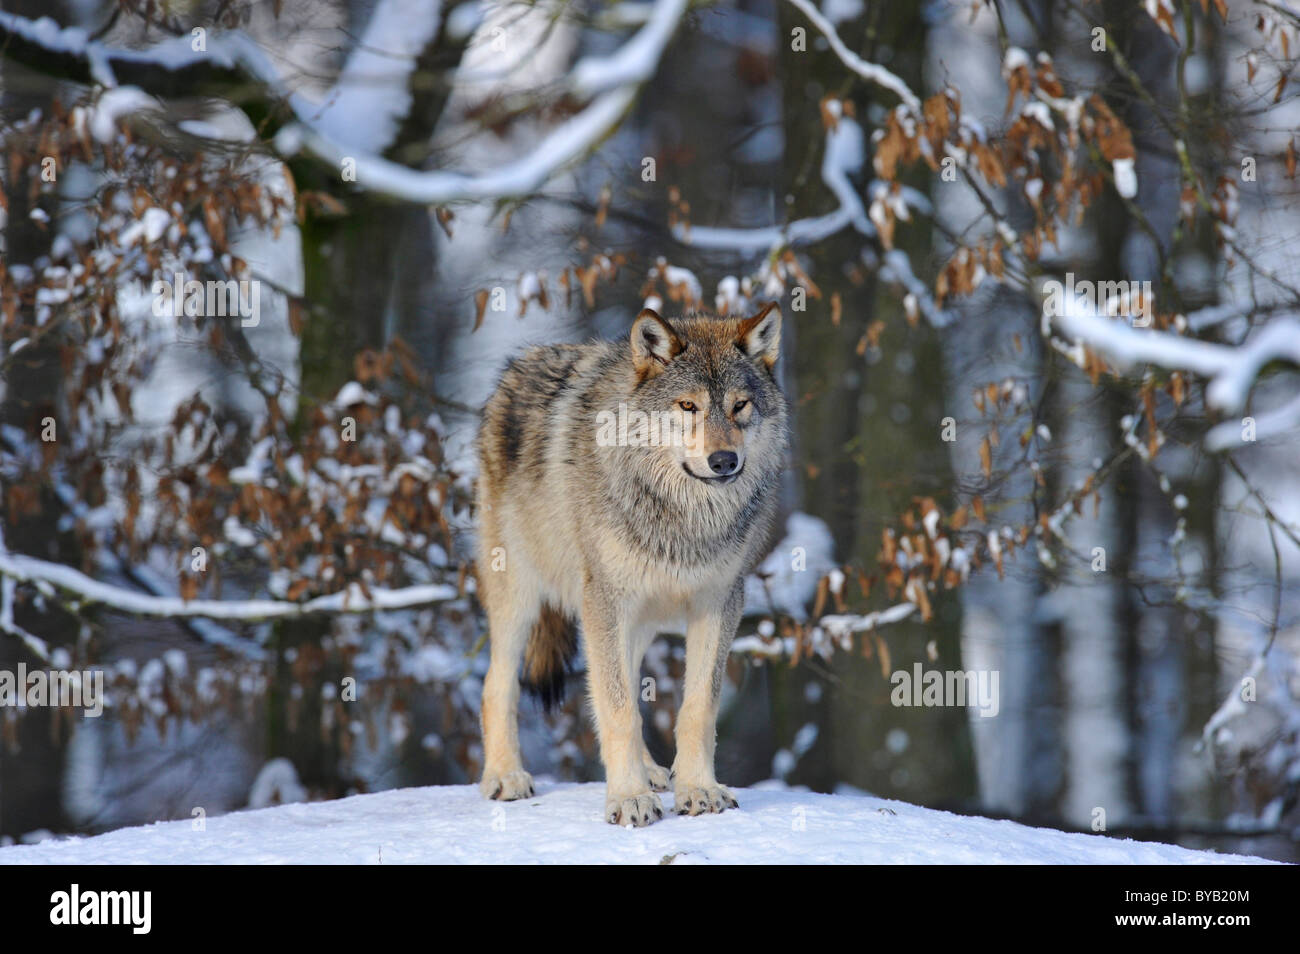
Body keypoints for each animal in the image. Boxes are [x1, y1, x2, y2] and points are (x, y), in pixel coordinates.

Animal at [476, 303, 787, 826]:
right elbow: (617, 709)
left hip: (637, 620)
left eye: (740, 406)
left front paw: (698, 789)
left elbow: (695, 708)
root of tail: (516, 368)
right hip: (522, 595)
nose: (724, 460)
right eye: (688, 406)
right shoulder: (604, 599)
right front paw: (627, 798)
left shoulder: (720, 601)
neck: (684, 519)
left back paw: (654, 773)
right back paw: (505, 776)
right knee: (496, 684)